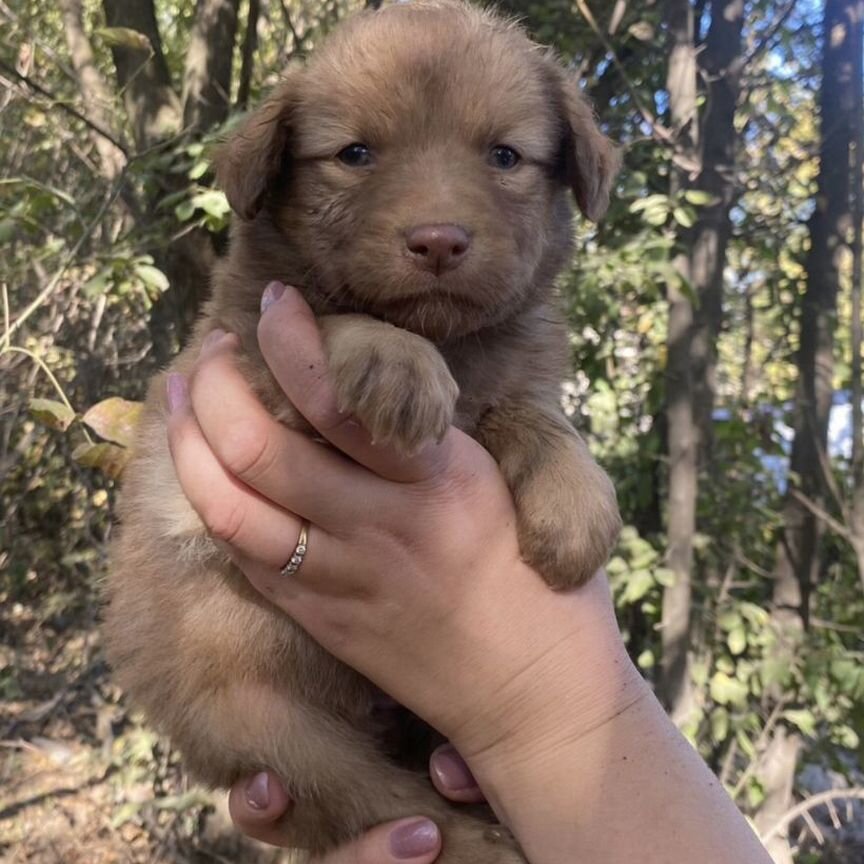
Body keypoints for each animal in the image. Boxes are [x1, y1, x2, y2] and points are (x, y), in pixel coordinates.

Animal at [106, 3, 620, 860]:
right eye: (354, 154)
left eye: (505, 155)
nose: (439, 239)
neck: (446, 337)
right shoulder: (248, 350)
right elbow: (329, 314)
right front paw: (393, 359)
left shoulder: (517, 372)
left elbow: (533, 410)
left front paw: (576, 503)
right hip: (279, 733)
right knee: (392, 804)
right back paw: (482, 842)